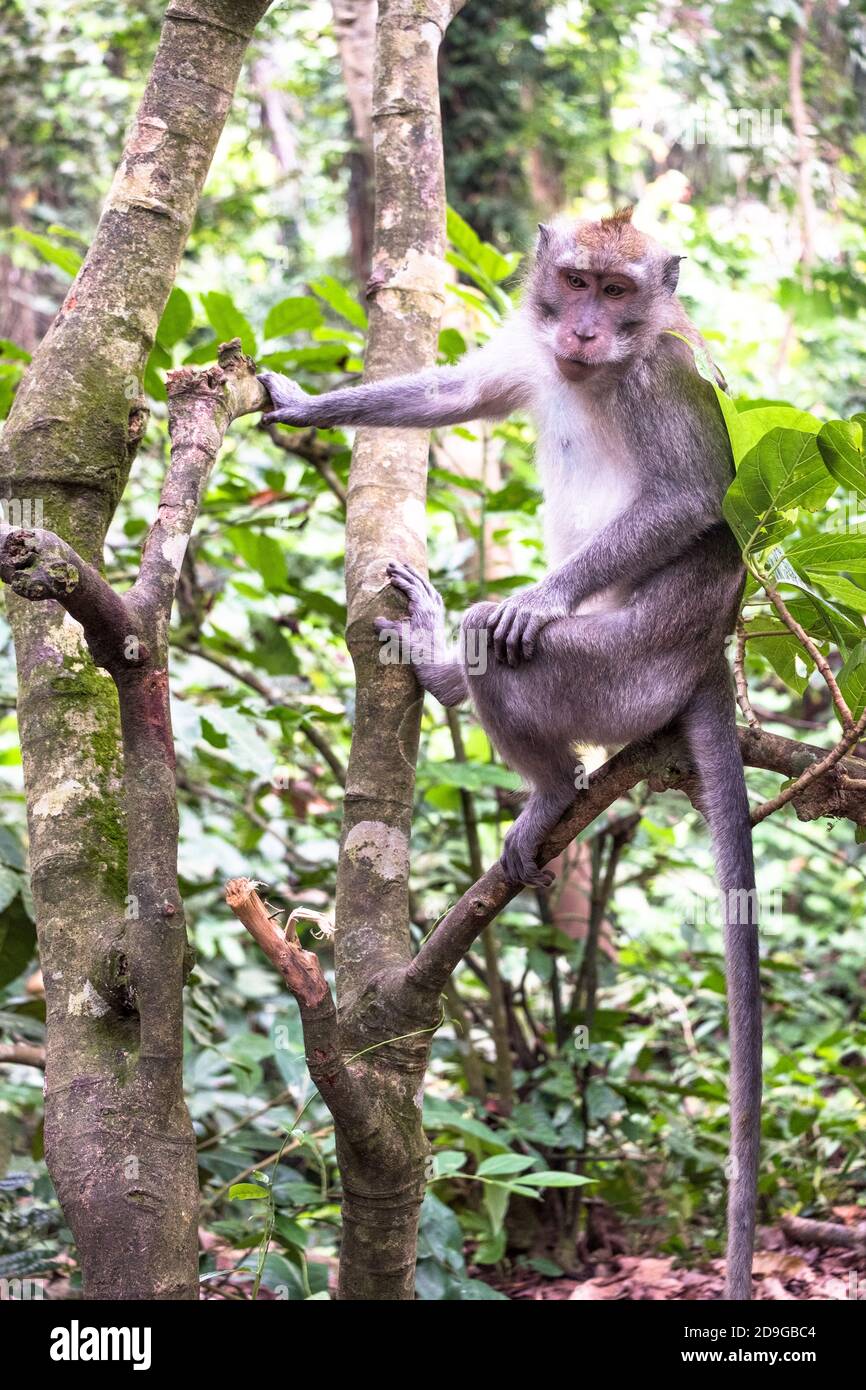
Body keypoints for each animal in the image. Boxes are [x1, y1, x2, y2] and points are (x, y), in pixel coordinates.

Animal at [258, 208, 760, 1301]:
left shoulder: (660, 376)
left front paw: (537, 597)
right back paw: (448, 673)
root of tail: (708, 660)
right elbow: (459, 394)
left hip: (623, 674)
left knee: (521, 660)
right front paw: (300, 401)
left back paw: (542, 772)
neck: (596, 373)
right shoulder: (530, 357)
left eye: (616, 293)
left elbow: (690, 500)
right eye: (572, 280)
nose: (582, 328)